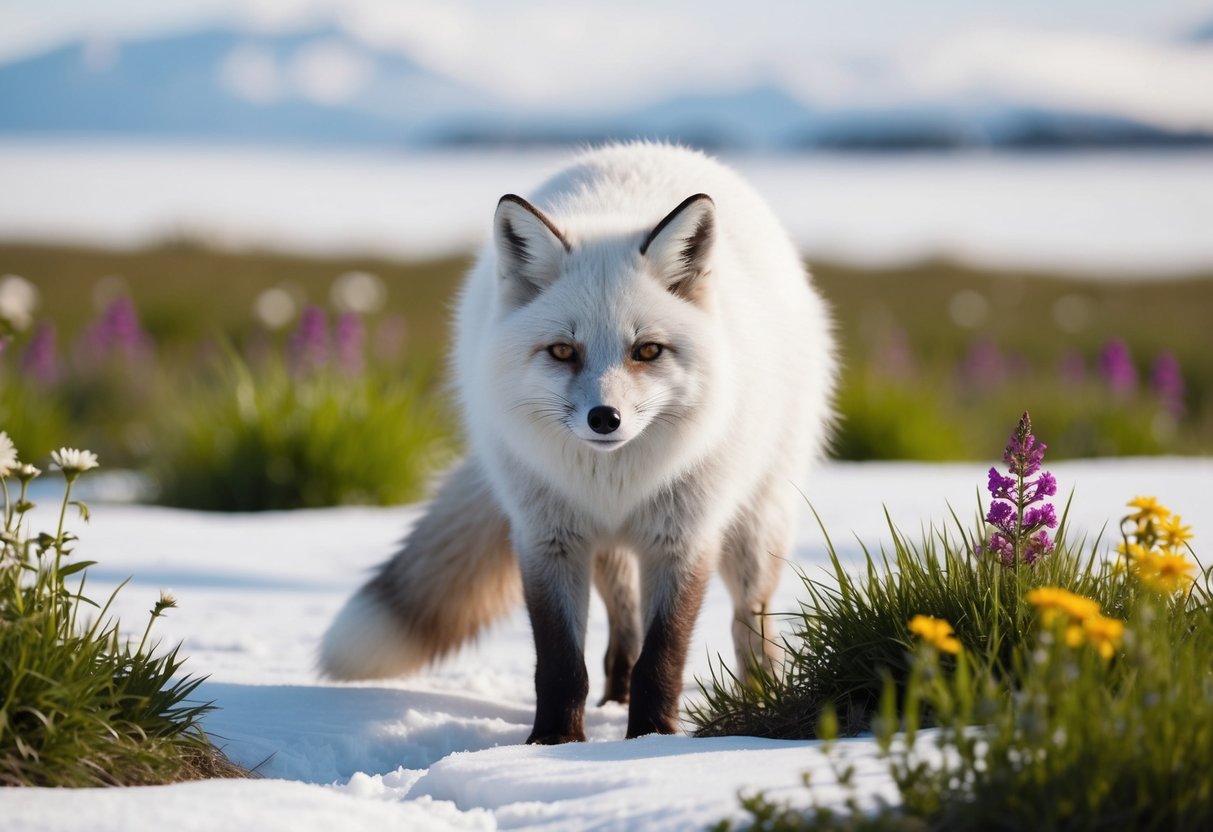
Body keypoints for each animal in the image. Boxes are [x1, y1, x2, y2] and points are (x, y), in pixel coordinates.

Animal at [319, 142, 836, 743]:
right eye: (564, 352)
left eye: (648, 351)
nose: (604, 418)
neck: (614, 482)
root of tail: (647, 146)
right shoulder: (548, 538)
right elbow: (562, 663)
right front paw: (554, 742)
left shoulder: (683, 539)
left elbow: (664, 657)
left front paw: (649, 740)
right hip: (607, 548)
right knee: (624, 627)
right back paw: (615, 699)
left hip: (754, 528)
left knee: (749, 620)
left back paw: (757, 698)